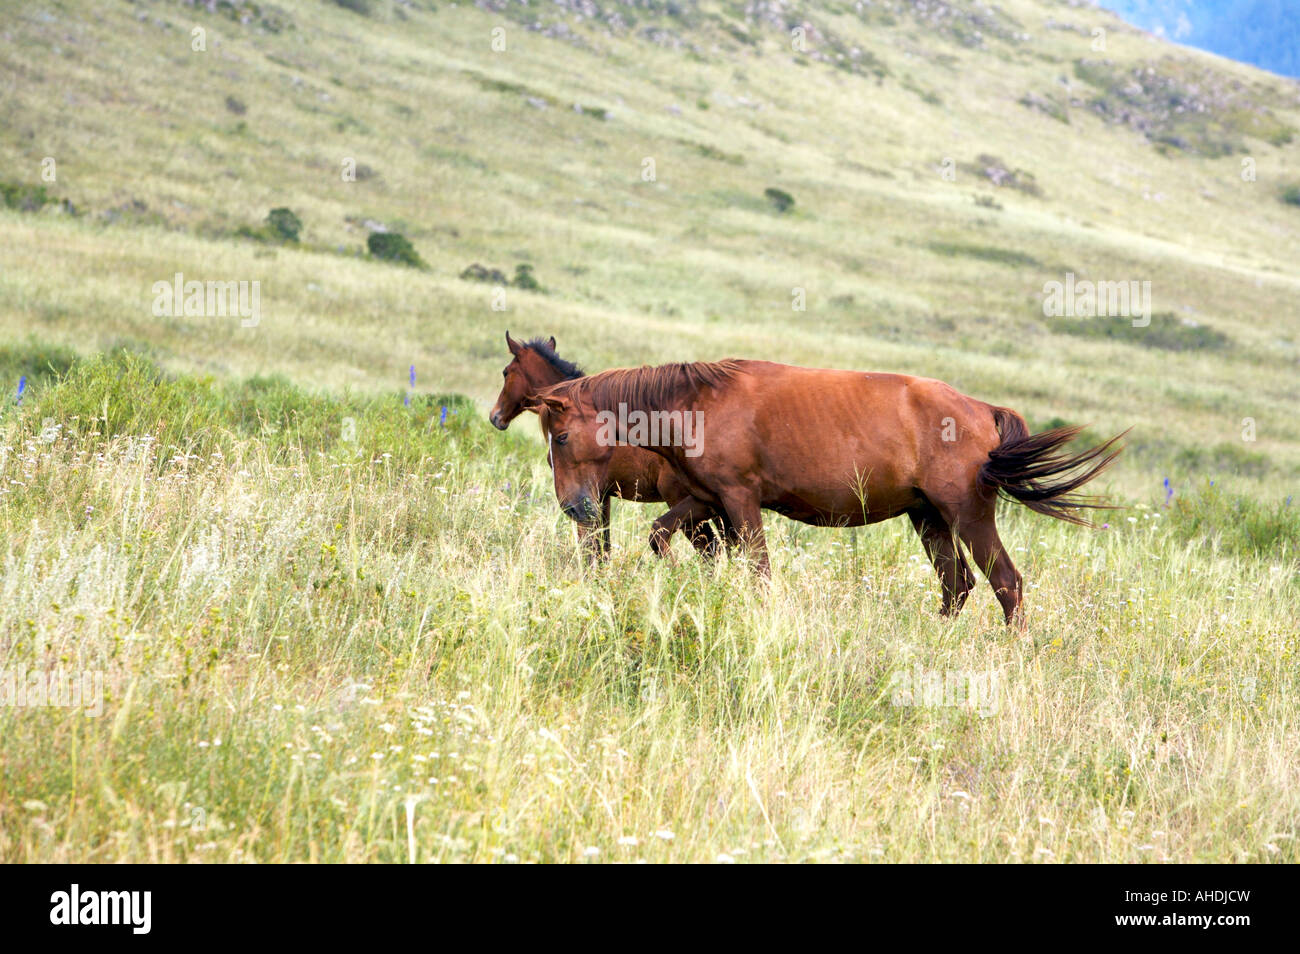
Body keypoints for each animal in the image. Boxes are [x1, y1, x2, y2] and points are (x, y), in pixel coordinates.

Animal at [488, 332, 729, 557]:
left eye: (506, 372)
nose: (495, 417)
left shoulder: (587, 496)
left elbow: (591, 544)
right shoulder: (602, 496)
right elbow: (604, 544)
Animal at [526, 358, 1126, 625]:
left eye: (561, 437)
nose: (574, 507)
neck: (695, 403)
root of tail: (982, 411)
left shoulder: (741, 502)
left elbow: (759, 572)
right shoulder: (707, 498)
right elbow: (659, 535)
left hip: (965, 514)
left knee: (1007, 584)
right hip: (929, 517)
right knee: (956, 586)